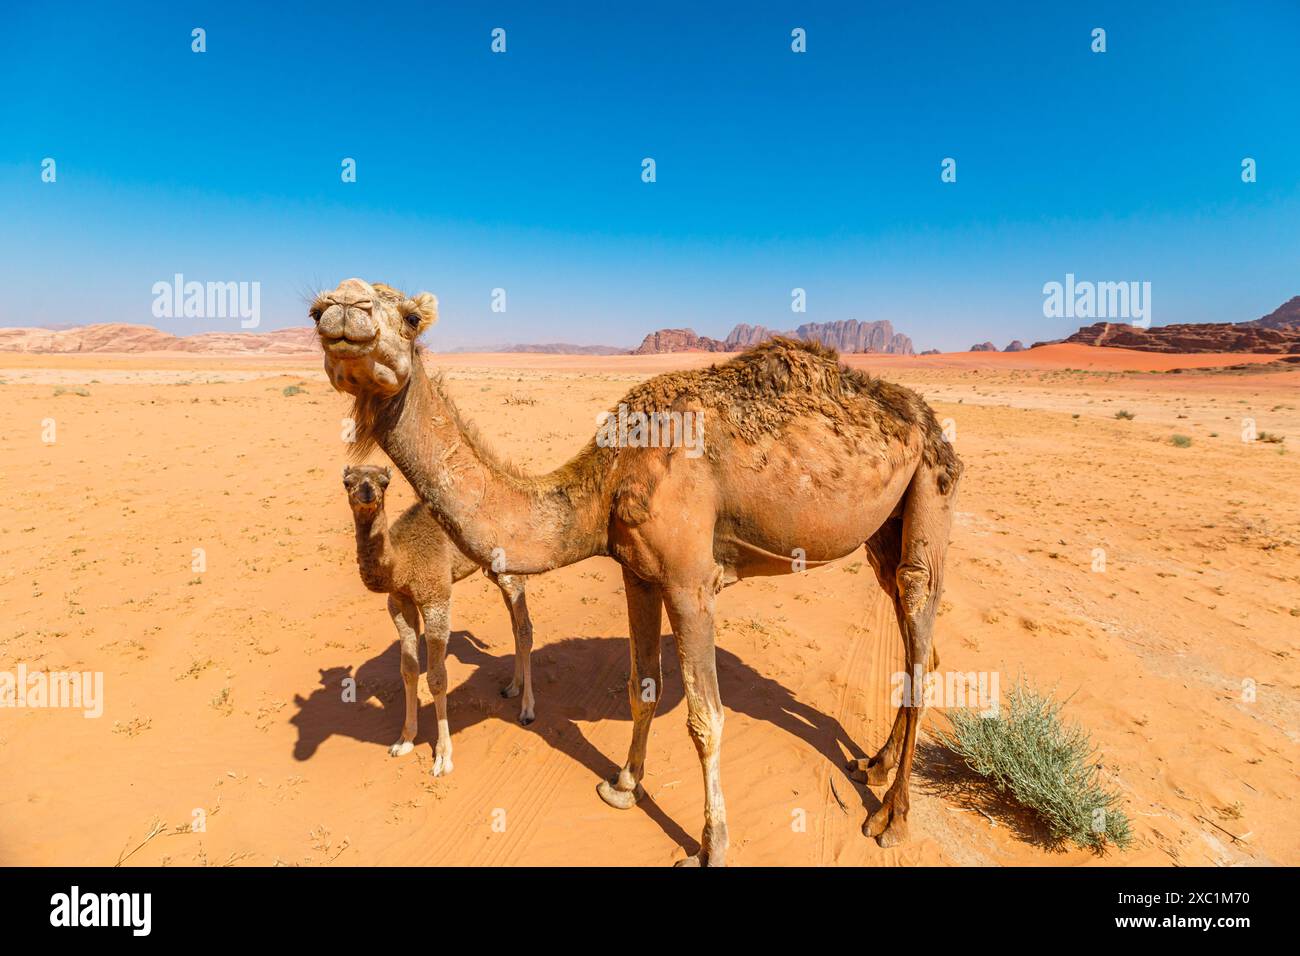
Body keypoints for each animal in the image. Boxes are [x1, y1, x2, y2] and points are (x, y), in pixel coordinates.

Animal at [342, 463, 535, 776]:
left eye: (384, 482)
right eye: (348, 481)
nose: (367, 492)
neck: (402, 562)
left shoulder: (436, 598)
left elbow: (436, 678)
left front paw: (443, 757)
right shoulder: (399, 603)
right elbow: (408, 670)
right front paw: (404, 740)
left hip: (509, 564)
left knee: (525, 629)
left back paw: (528, 710)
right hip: (491, 568)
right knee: (515, 625)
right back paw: (512, 687)